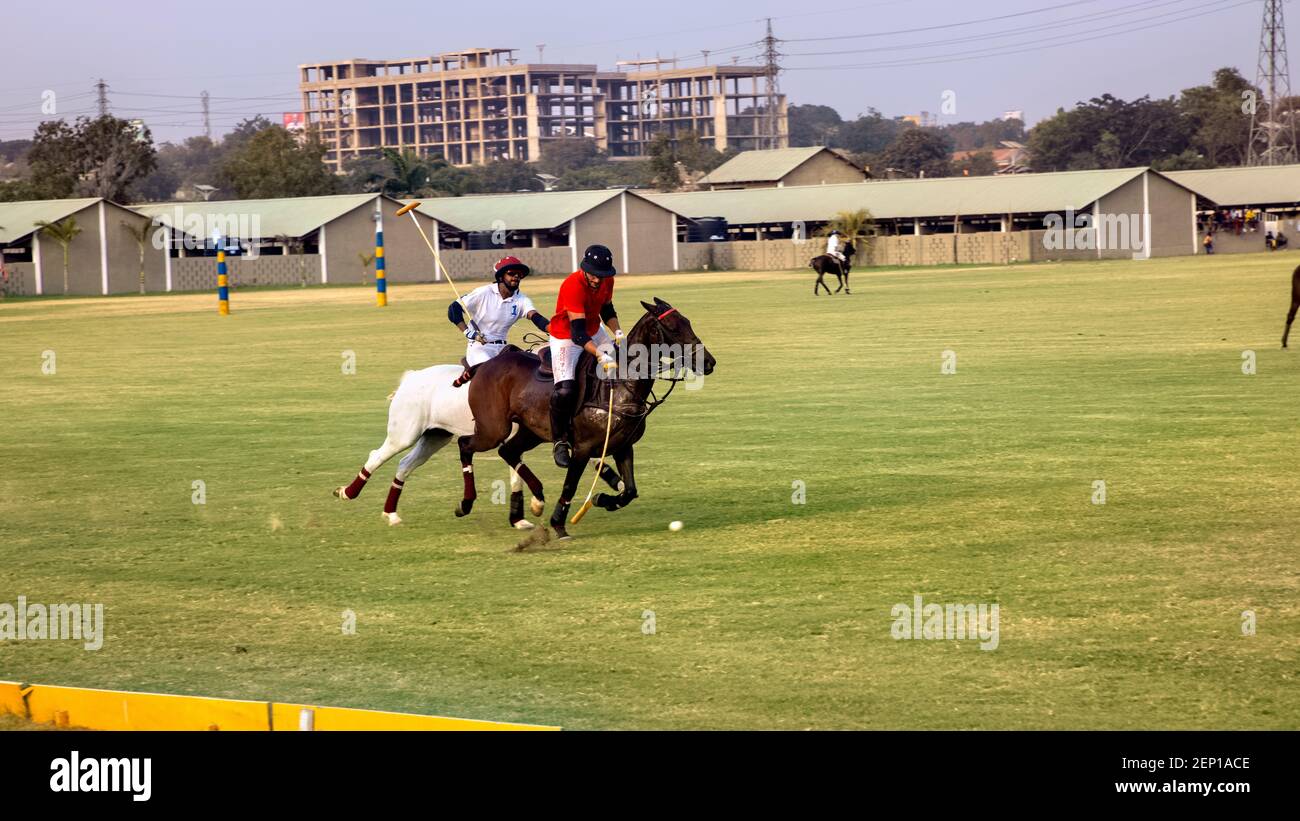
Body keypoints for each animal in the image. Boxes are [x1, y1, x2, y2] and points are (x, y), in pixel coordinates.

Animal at [456, 297, 715, 539]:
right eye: (673, 327)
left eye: (687, 322)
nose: (709, 362)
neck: (620, 385)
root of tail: (484, 365)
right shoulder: (582, 448)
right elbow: (570, 486)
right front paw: (559, 524)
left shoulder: (623, 446)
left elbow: (630, 490)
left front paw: (601, 499)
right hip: (493, 428)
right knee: (466, 444)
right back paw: (465, 504)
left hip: (532, 431)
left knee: (507, 451)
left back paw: (537, 499)